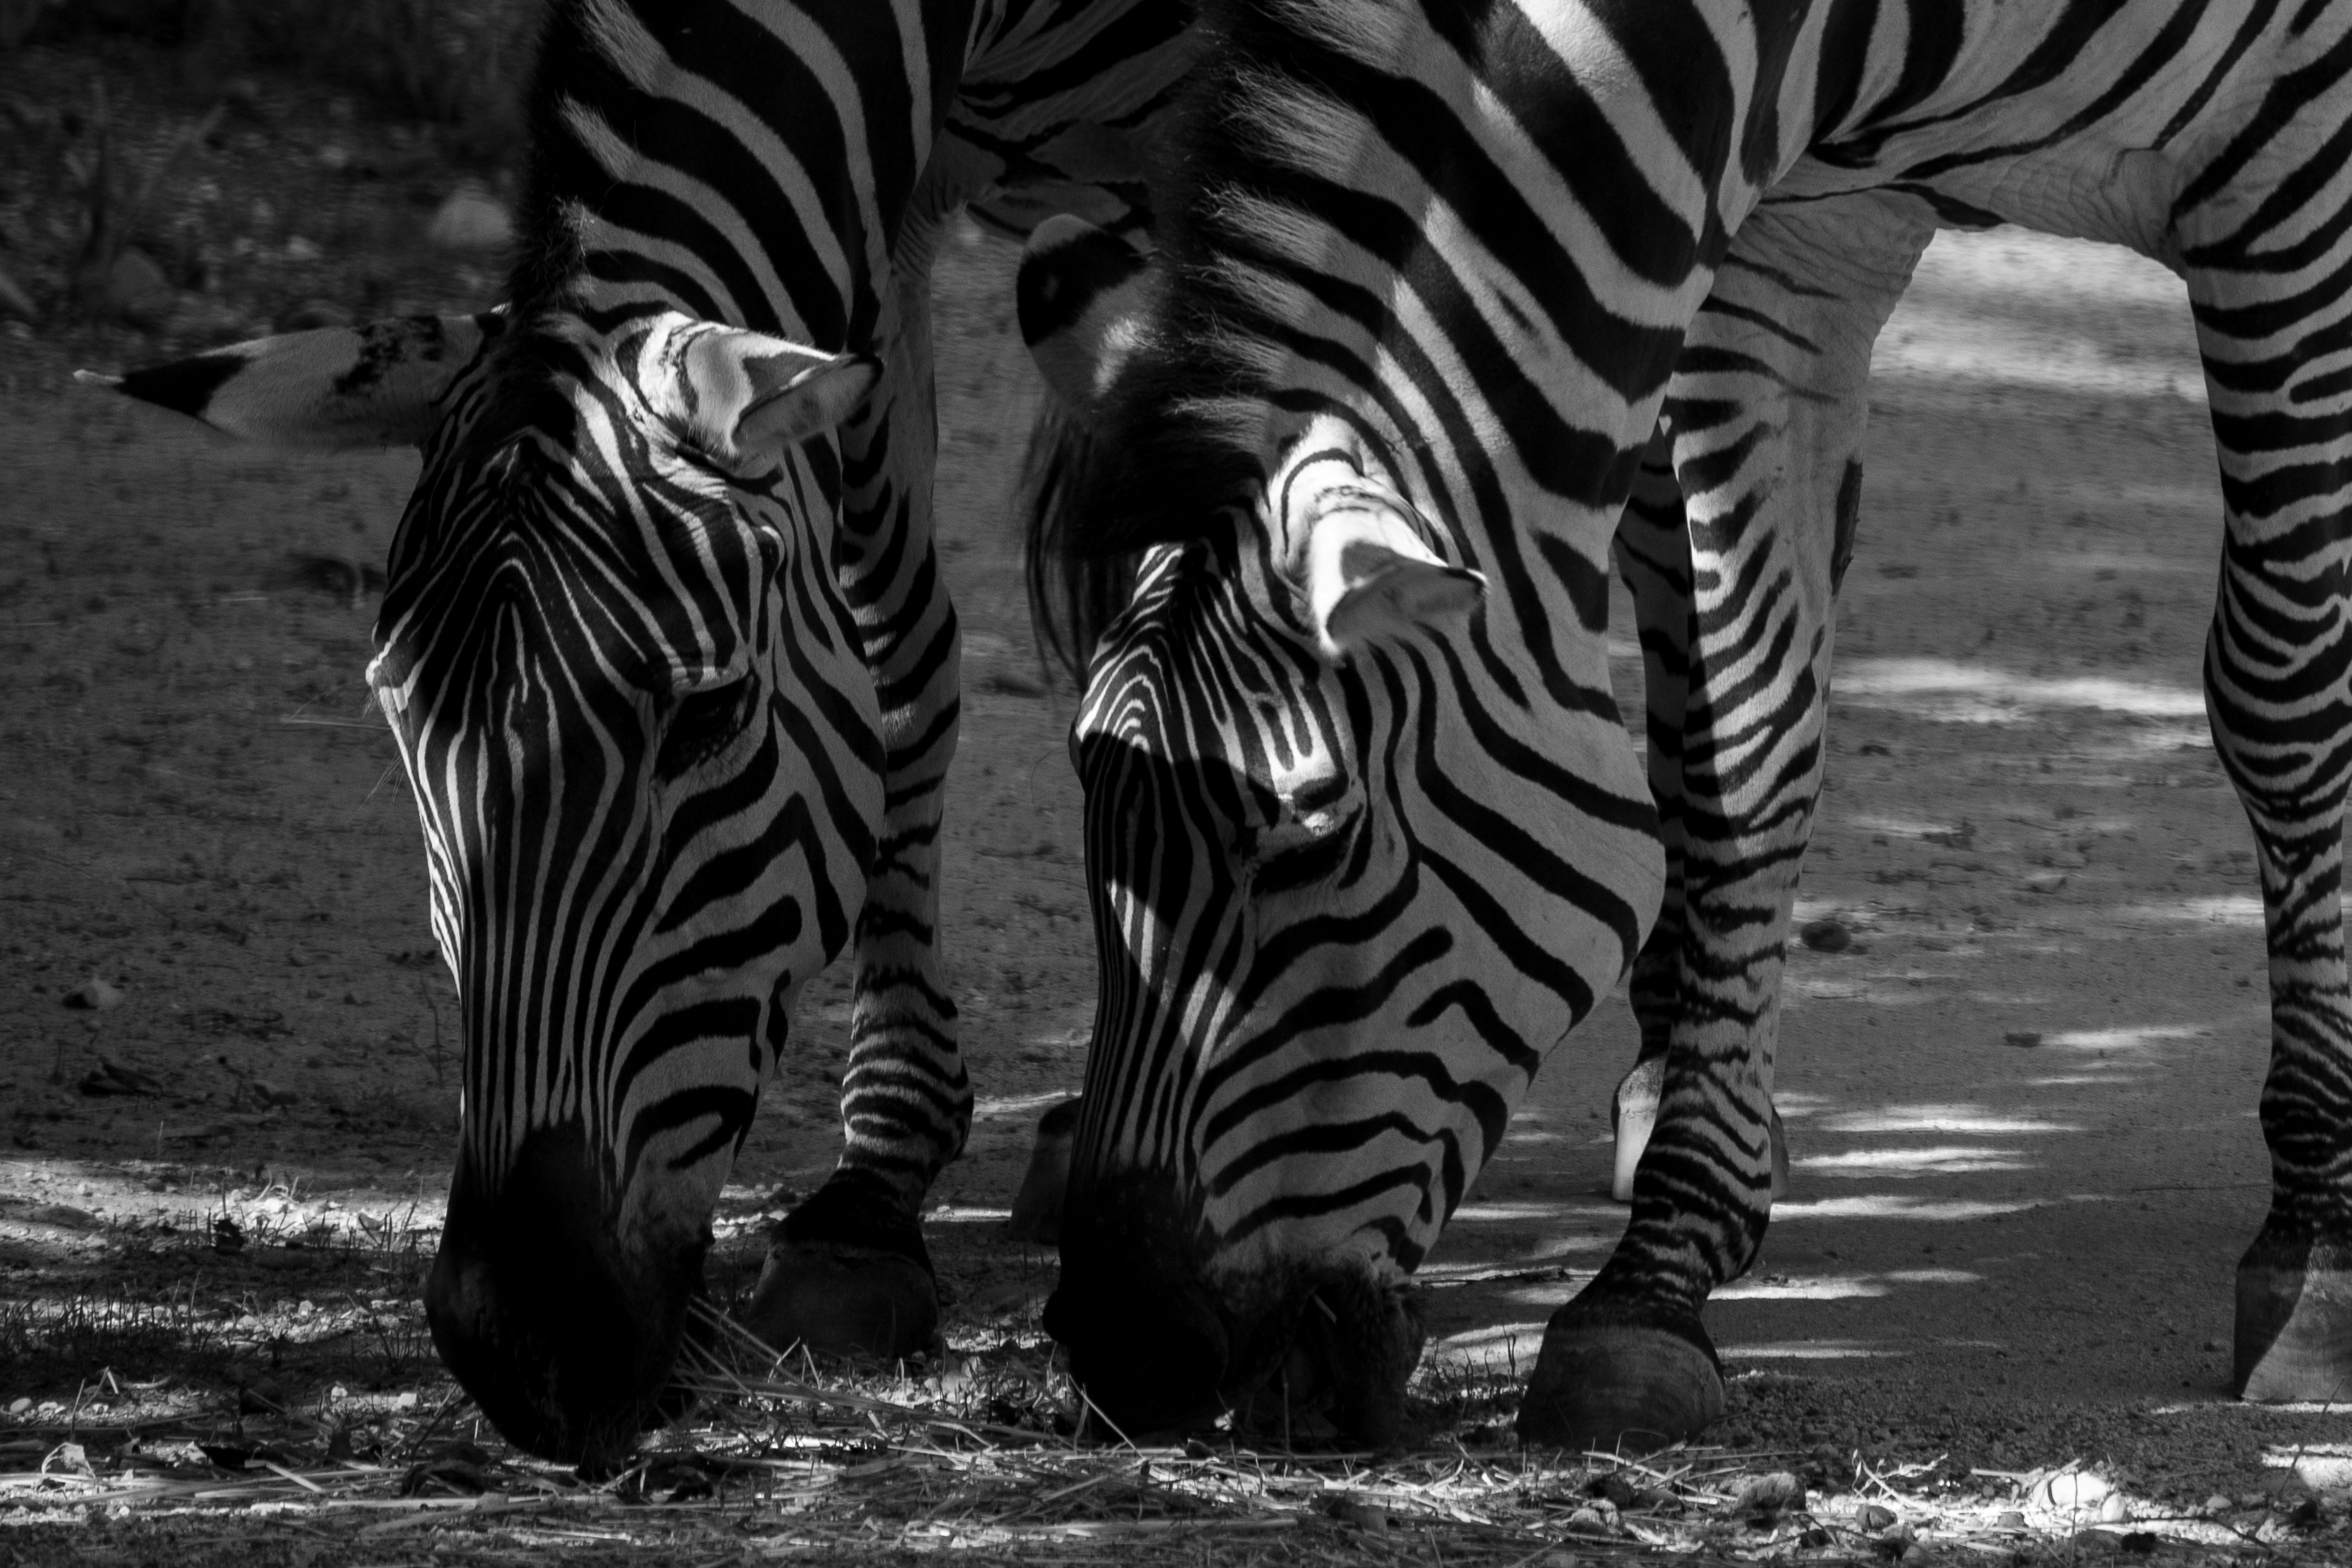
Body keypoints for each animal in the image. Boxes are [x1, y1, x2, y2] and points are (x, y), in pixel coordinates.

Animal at [85, 0, 1189, 1467]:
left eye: (710, 713)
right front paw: (873, 1197)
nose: (521, 1344)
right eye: (397, 711)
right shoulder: (883, 196)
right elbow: (898, 652)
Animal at [1011, 0, 2352, 1451]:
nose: (1122, 1354)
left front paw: (2315, 1248)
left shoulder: (2299, 173)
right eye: (1084, 782)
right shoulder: (1783, 246)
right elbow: (1737, 741)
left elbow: (2284, 693)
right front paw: (1652, 1282)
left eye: (1308, 836)